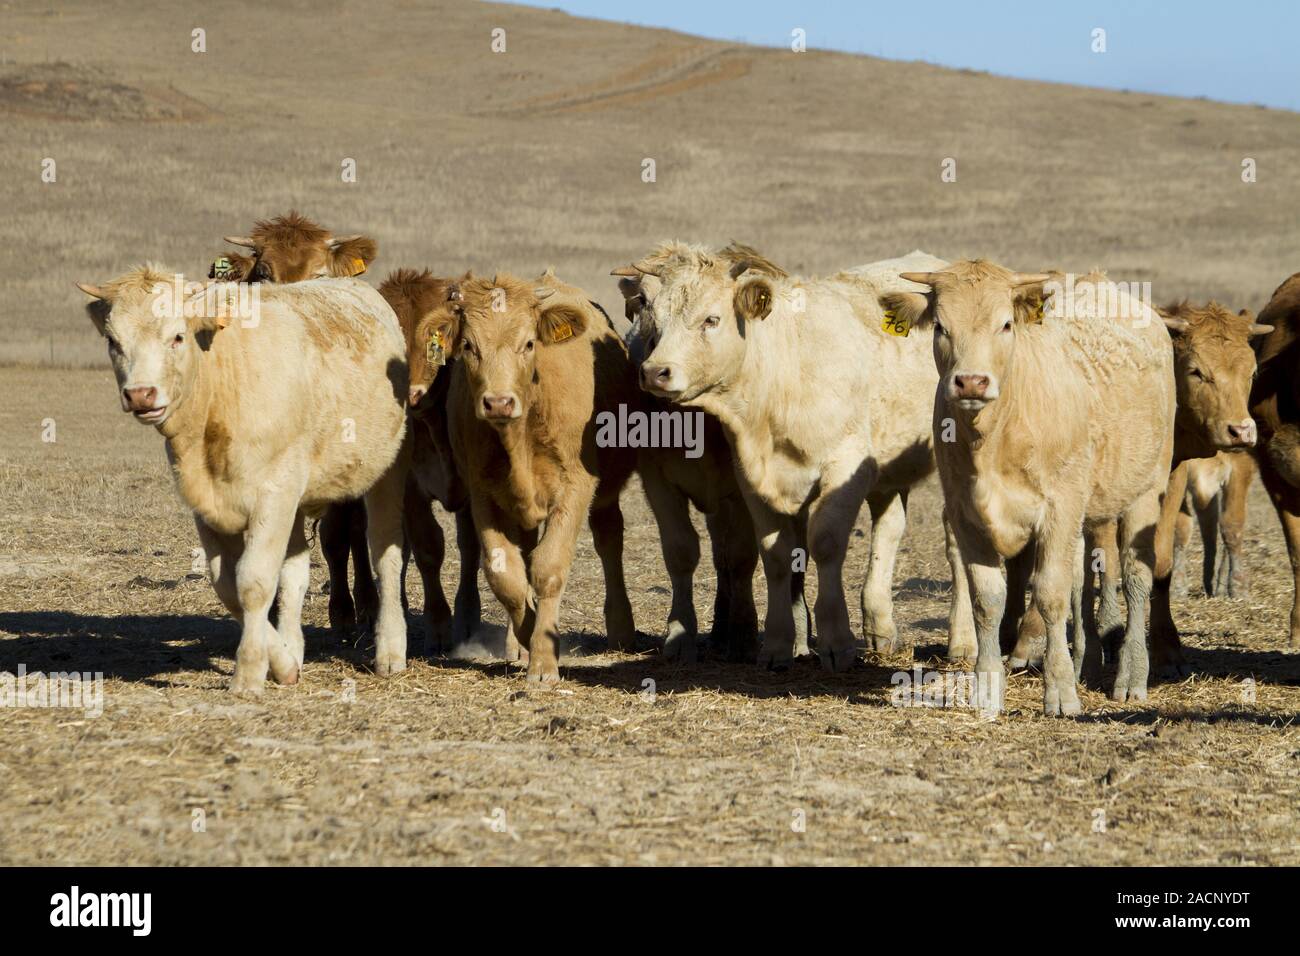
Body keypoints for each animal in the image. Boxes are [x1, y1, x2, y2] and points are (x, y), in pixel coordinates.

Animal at [77, 266, 409, 694]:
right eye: (113, 341)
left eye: (177, 336)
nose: (141, 394)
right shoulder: (207, 505)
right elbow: (228, 586)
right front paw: (282, 662)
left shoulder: (273, 495)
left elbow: (254, 582)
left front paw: (248, 674)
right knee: (295, 575)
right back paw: (293, 647)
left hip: (387, 472)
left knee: (386, 556)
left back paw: (390, 649)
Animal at [419, 271, 641, 682]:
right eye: (469, 346)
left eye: (528, 343)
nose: (498, 402)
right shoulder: (483, 495)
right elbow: (506, 574)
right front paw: (526, 633)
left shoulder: (576, 488)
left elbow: (548, 567)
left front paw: (543, 661)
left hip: (604, 495)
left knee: (609, 539)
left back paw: (621, 629)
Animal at [631, 242, 975, 673]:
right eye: (650, 316)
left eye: (711, 319)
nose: (655, 372)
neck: (785, 374)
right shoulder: (751, 479)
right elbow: (776, 555)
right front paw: (778, 644)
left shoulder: (844, 468)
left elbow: (825, 544)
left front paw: (836, 642)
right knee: (888, 528)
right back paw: (879, 629)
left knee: (955, 540)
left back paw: (962, 642)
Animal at [884, 263, 1175, 714]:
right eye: (940, 327)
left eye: (1006, 324)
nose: (971, 382)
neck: (995, 435)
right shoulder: (965, 514)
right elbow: (987, 599)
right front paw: (987, 691)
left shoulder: (1059, 509)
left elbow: (1050, 593)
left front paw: (1060, 693)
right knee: (1081, 582)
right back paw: (1087, 662)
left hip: (1146, 490)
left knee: (1135, 578)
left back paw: (1130, 676)